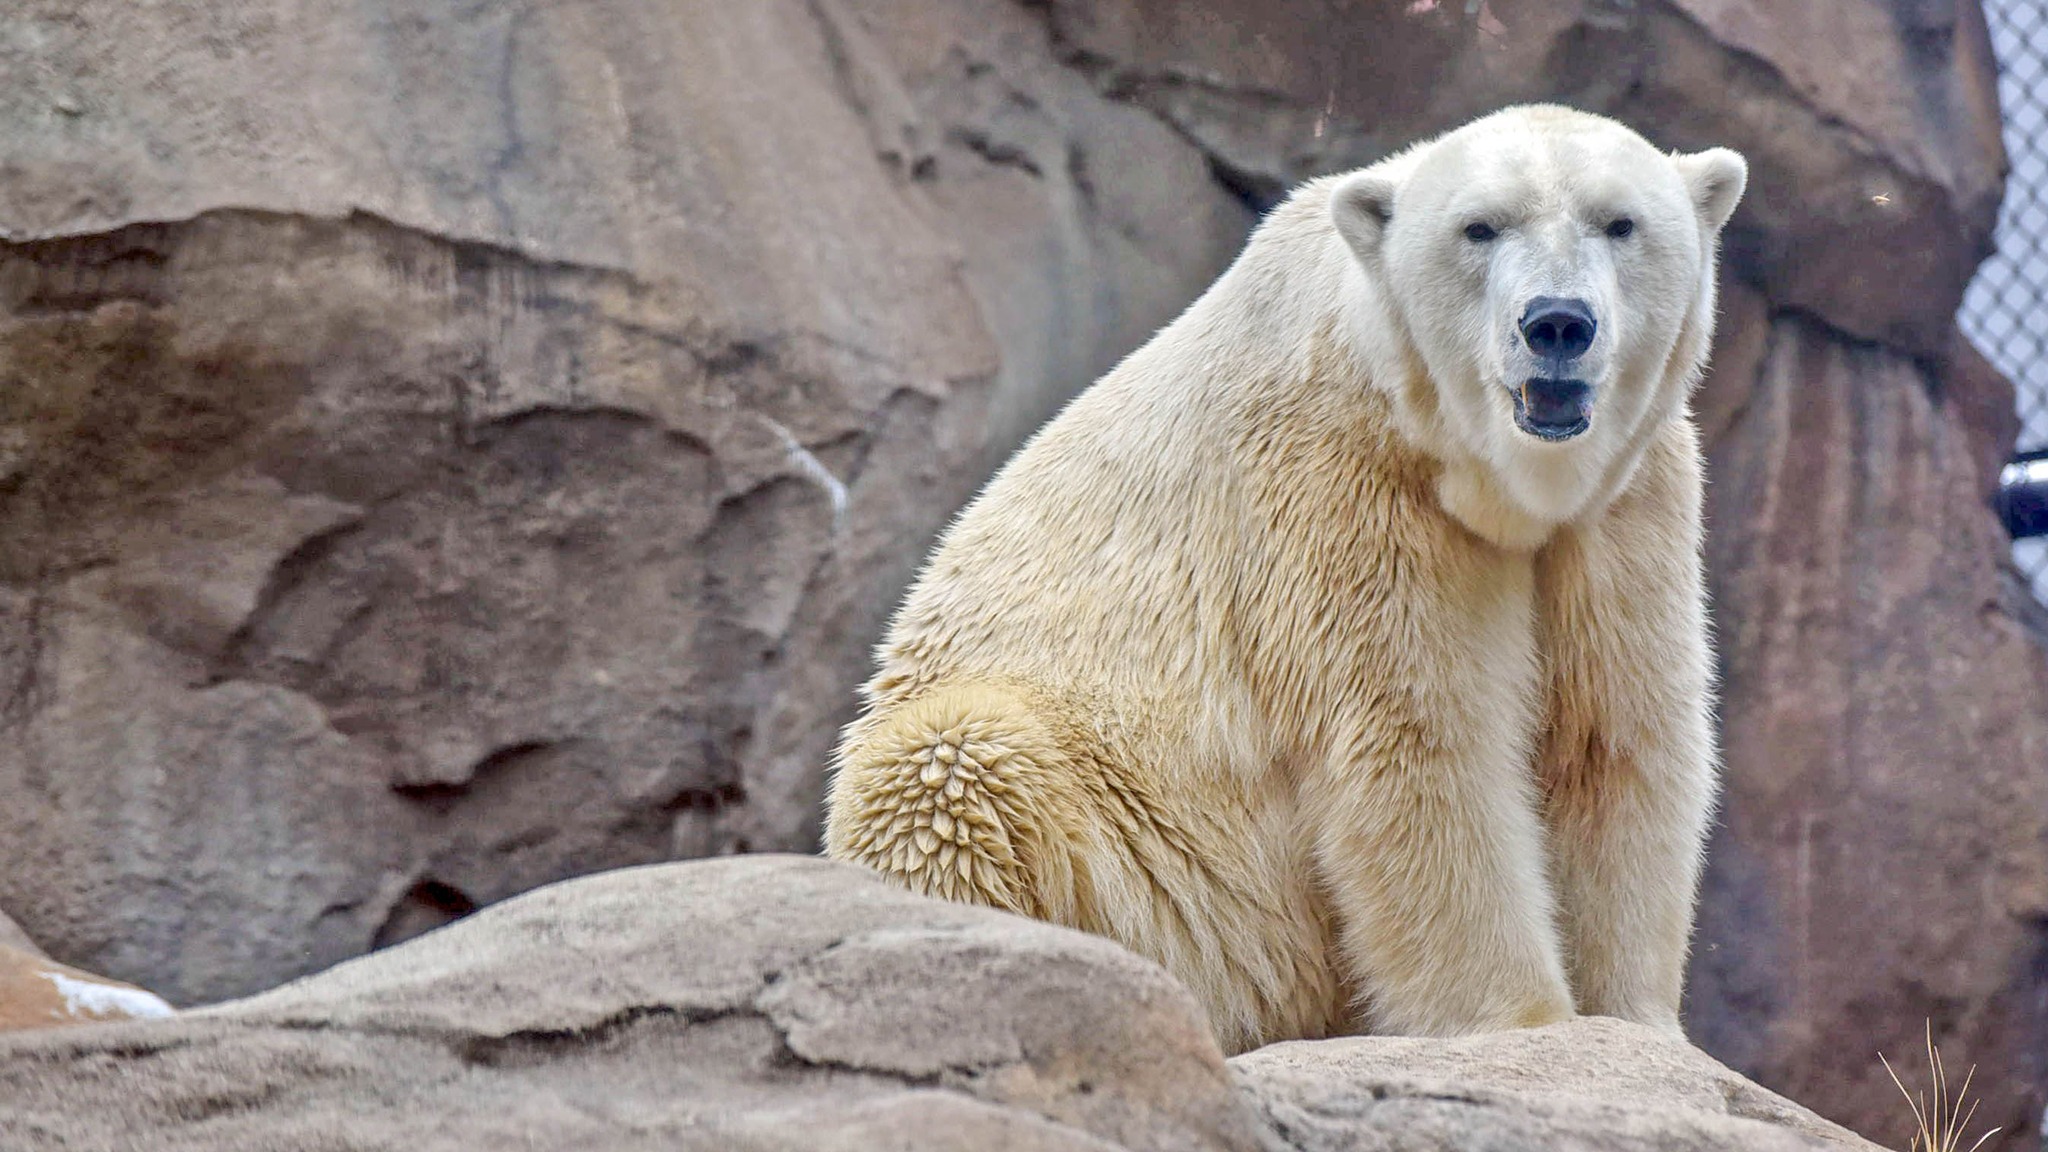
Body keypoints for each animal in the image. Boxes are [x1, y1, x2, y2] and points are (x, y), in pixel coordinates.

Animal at [824, 104, 1747, 1054]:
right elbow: (1416, 743)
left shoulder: (1627, 504)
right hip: (1144, 864)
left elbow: (1614, 738)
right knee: (959, 760)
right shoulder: (1334, 476)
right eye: (1479, 227)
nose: (1557, 323)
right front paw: (1520, 1022)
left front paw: (1638, 1024)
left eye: (1620, 223)